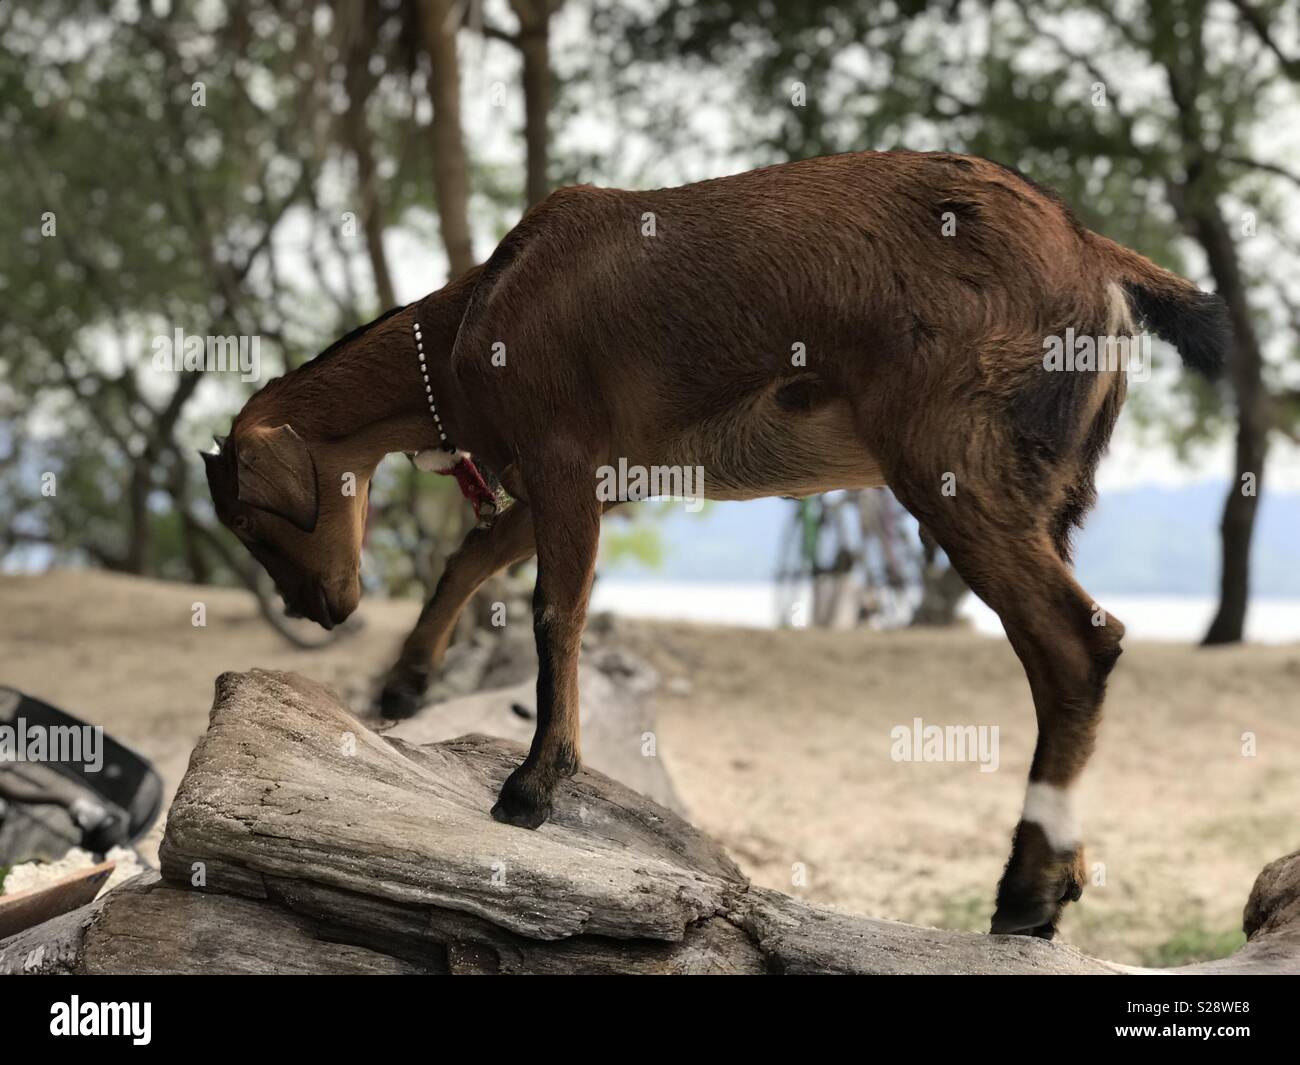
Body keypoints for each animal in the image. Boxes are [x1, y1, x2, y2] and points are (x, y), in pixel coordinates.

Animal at [203, 150, 1229, 938]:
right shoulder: (596, 476)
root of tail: (1096, 255)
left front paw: (532, 787)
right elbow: (474, 555)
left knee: (1076, 641)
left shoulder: (565, 452)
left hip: (954, 457)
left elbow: (554, 609)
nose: (317, 607)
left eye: (250, 520)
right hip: (1046, 486)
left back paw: (1022, 896)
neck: (476, 315)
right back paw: (1060, 880)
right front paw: (405, 686)